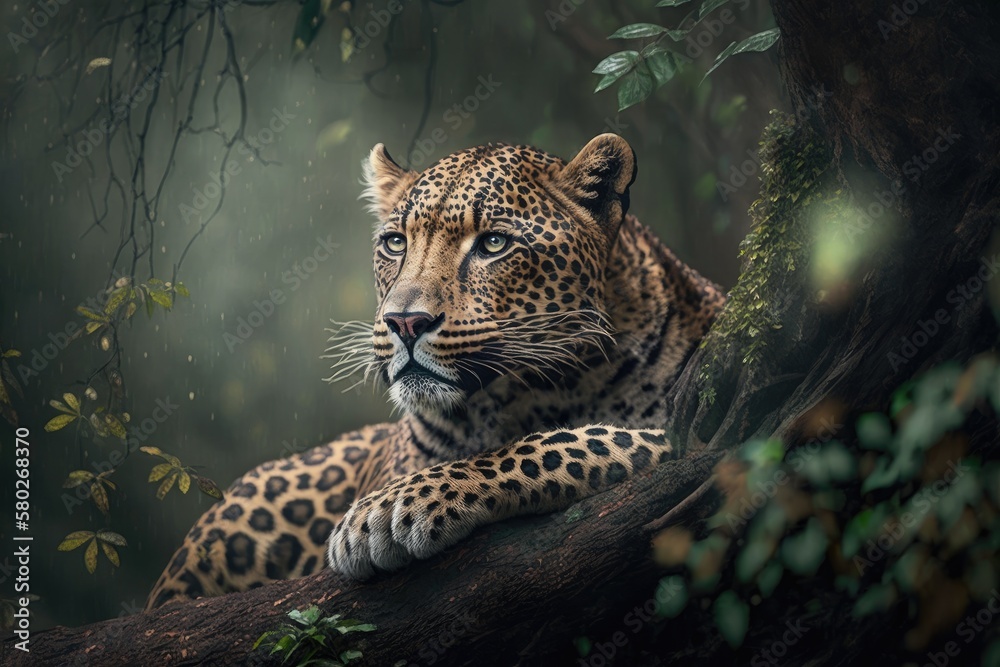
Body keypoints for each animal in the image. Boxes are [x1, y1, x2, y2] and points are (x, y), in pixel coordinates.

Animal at [145, 133, 725, 609]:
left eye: (494, 244)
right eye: (395, 242)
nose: (405, 322)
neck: (532, 396)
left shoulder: (701, 435)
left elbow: (564, 441)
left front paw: (382, 514)